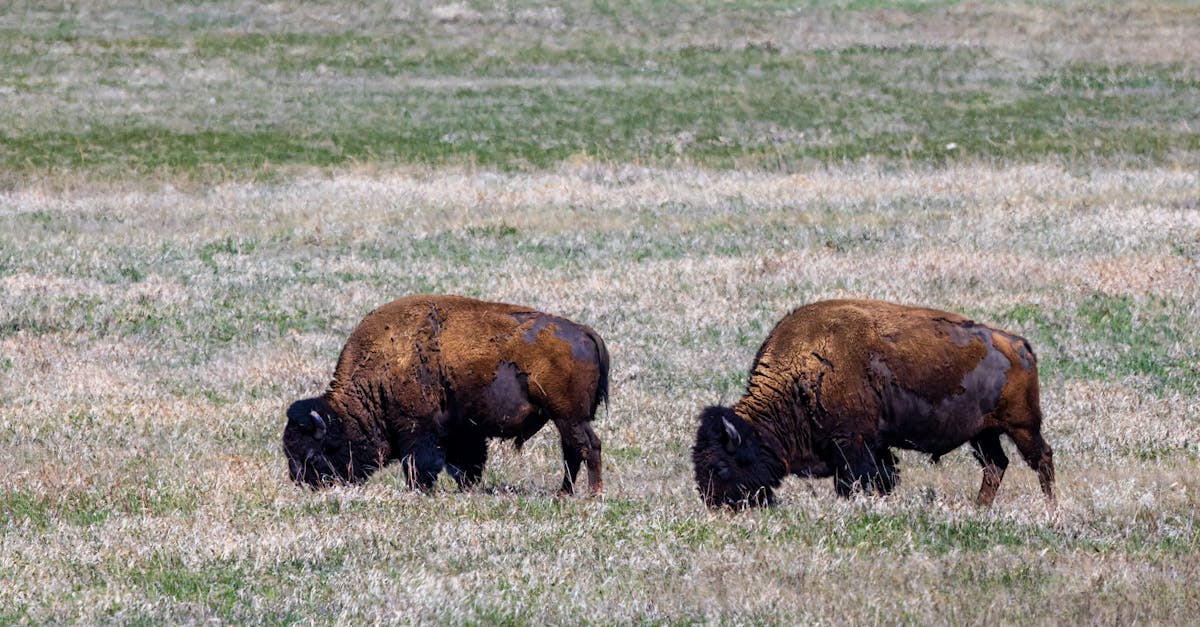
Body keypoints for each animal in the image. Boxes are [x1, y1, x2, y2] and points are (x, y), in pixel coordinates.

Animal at [283, 293, 609, 492]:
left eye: (311, 456)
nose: (303, 484)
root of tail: (583, 331)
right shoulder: (462, 431)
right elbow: (465, 463)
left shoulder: (418, 429)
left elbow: (421, 463)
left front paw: (419, 490)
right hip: (565, 418)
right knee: (573, 450)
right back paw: (564, 493)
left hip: (568, 416)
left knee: (587, 447)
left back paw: (590, 494)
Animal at [691, 297, 1056, 506]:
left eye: (721, 467)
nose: (718, 507)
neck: (800, 374)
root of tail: (1020, 345)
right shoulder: (873, 447)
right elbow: (884, 476)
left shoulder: (853, 445)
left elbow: (858, 481)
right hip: (983, 434)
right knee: (996, 465)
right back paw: (979, 508)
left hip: (1021, 426)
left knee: (1041, 458)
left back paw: (1050, 507)